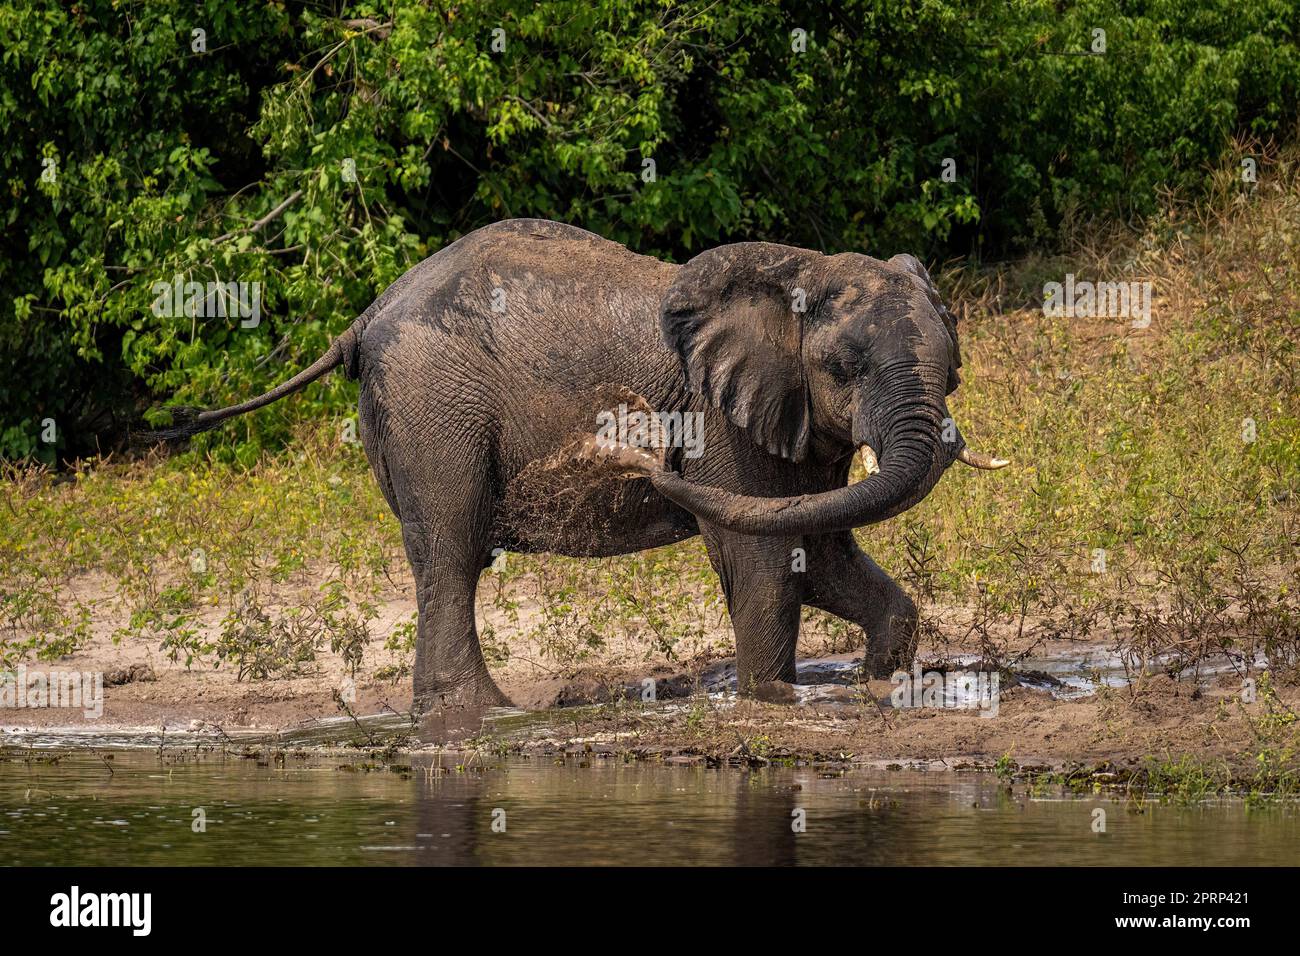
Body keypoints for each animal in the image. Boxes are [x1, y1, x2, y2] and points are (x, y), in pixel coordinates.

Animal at [147, 217, 1008, 712]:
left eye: (954, 371)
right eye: (845, 367)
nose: (635, 443)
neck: (800, 271)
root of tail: (365, 315)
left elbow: (818, 544)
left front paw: (883, 684)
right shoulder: (719, 418)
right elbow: (762, 548)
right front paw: (779, 701)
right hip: (435, 406)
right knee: (452, 548)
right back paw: (486, 715)